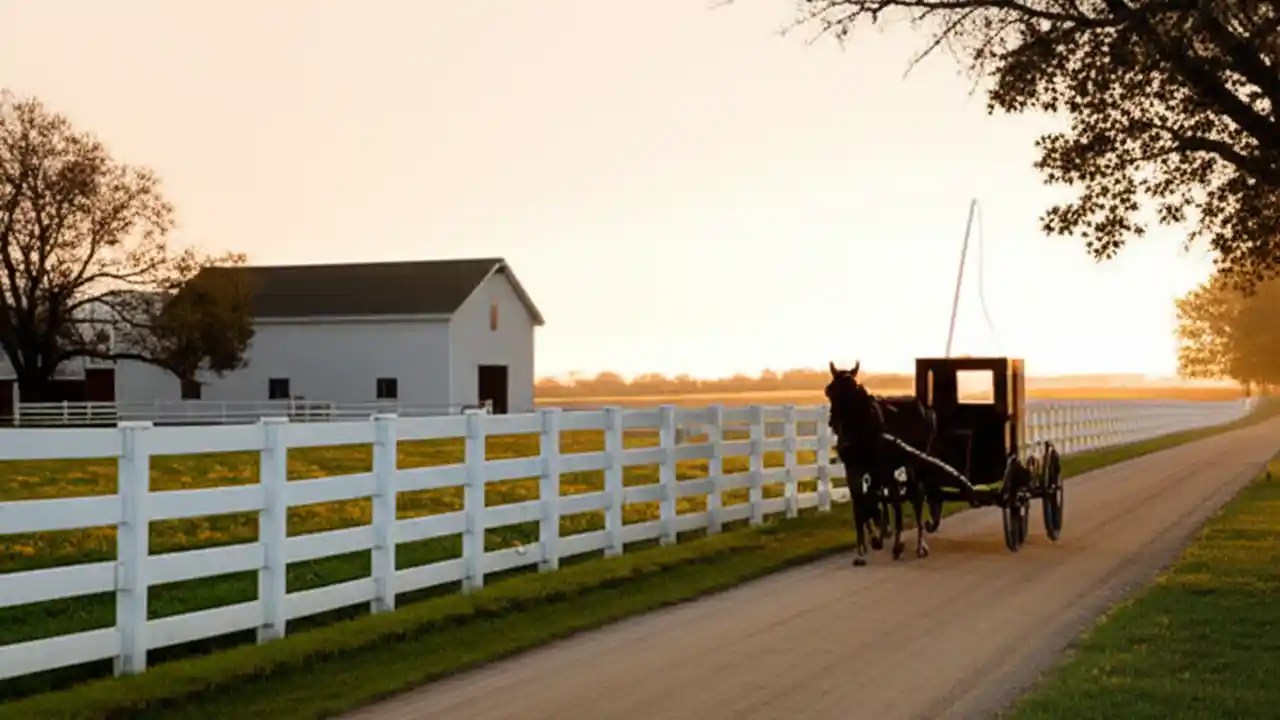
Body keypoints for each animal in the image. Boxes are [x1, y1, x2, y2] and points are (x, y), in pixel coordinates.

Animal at [825, 361, 940, 566]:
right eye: (830, 390)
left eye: (855, 391)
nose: (835, 422)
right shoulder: (854, 470)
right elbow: (862, 504)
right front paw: (864, 549)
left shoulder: (883, 469)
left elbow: (886, 501)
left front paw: (894, 543)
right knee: (899, 495)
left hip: (915, 462)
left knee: (916, 496)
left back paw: (919, 545)